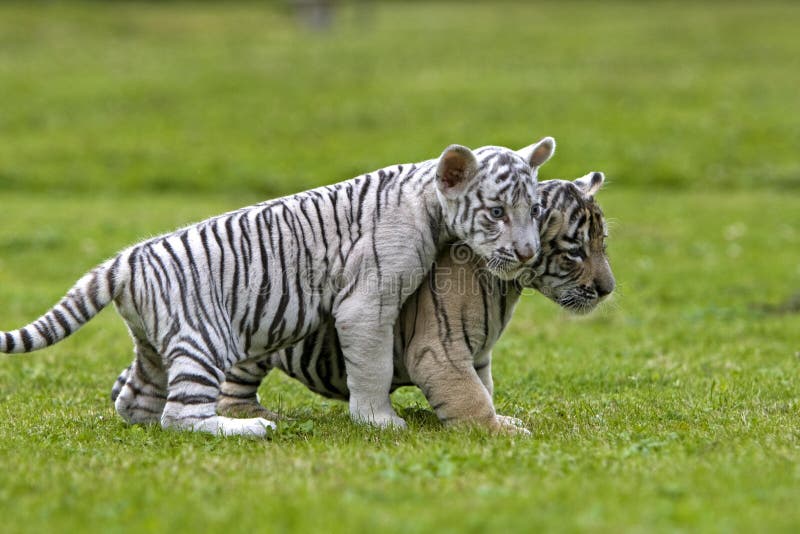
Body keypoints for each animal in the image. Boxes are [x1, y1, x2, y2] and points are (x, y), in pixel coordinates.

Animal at [0, 138, 556, 437]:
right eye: (497, 212)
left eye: (535, 210)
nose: (529, 253)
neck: (430, 204)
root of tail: (125, 260)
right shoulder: (367, 304)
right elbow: (372, 368)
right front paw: (379, 421)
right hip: (206, 339)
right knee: (181, 417)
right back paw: (251, 429)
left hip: (155, 347)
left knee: (137, 402)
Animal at [180, 172, 614, 434]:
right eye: (575, 251)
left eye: (603, 244)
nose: (608, 289)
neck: (508, 285)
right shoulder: (440, 350)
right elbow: (471, 399)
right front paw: (499, 431)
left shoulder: (479, 356)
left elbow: (485, 389)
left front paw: (502, 418)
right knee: (232, 389)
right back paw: (259, 417)